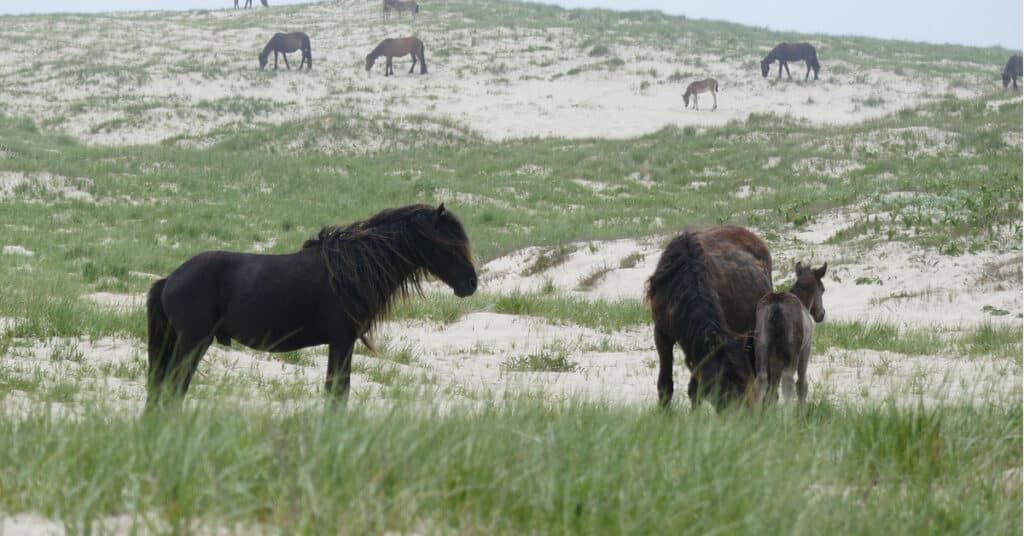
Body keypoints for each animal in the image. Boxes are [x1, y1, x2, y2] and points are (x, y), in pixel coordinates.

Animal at [145, 204, 477, 410]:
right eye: (448, 245)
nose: (471, 284)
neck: (353, 269)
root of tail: (170, 278)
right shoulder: (342, 341)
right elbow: (337, 392)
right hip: (193, 342)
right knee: (174, 387)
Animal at [754, 262, 827, 410]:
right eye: (822, 289)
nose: (822, 314)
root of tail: (776, 306)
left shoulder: (774, 356)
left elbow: (773, 386)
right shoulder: (806, 348)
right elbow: (802, 384)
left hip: (762, 346)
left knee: (762, 379)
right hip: (792, 350)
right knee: (788, 381)